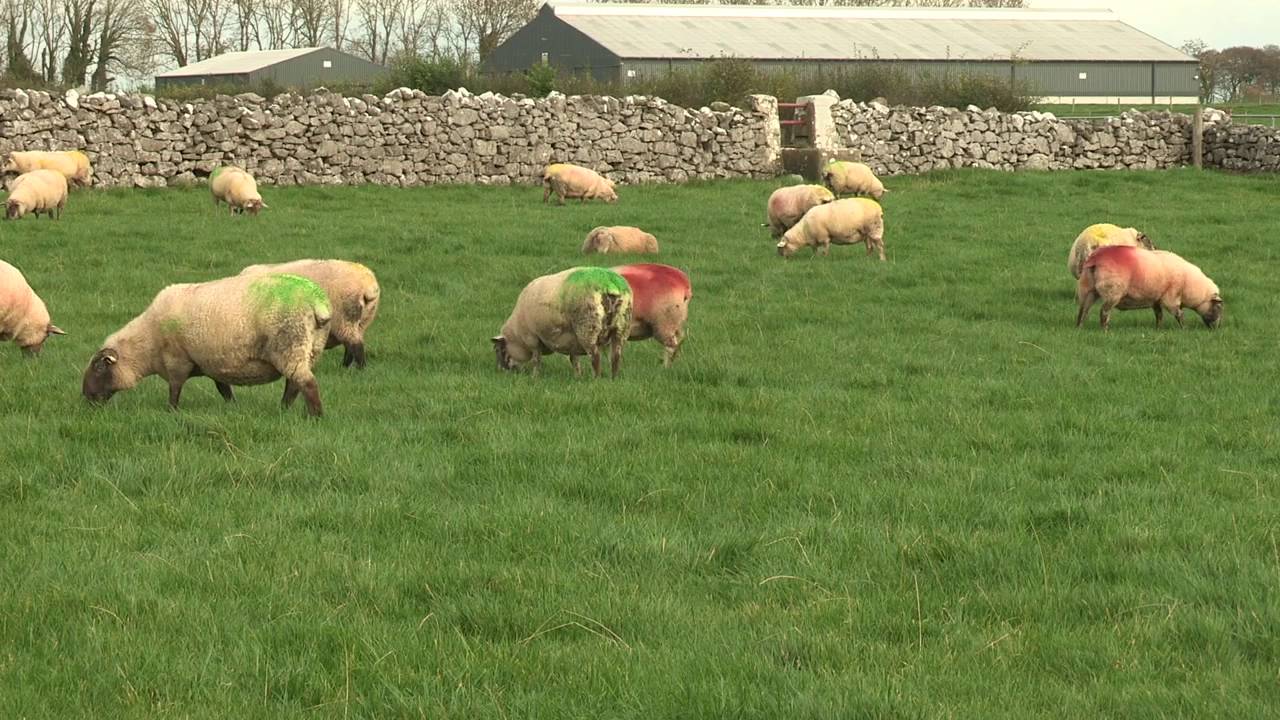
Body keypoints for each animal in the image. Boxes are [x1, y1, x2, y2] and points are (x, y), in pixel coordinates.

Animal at [82, 273, 332, 416]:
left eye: (99, 367)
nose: (86, 397)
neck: (147, 343)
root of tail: (316, 302)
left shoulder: (177, 360)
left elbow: (174, 389)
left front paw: (171, 412)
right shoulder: (212, 364)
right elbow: (224, 389)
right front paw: (233, 408)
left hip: (289, 345)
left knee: (307, 383)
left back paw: (315, 416)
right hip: (310, 349)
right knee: (294, 385)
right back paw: (283, 410)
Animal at [240, 259, 380, 368]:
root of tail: (369, 286)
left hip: (344, 318)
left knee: (355, 345)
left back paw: (359, 369)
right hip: (362, 320)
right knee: (351, 345)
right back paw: (346, 367)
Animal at [492, 266, 632, 378]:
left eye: (499, 350)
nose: (501, 371)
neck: (517, 335)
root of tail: (610, 285)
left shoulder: (532, 338)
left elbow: (536, 359)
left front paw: (534, 376)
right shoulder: (572, 341)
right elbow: (574, 360)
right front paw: (578, 376)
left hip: (587, 327)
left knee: (595, 357)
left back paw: (596, 379)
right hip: (621, 327)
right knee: (616, 356)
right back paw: (613, 378)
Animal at [1076, 246, 1222, 331]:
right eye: (1218, 307)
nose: (1217, 328)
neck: (1188, 284)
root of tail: (1095, 259)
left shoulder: (1156, 299)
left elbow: (1159, 315)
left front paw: (1158, 329)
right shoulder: (1170, 297)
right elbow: (1179, 314)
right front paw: (1184, 329)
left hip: (1087, 289)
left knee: (1083, 310)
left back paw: (1079, 328)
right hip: (1113, 291)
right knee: (1104, 312)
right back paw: (1105, 331)